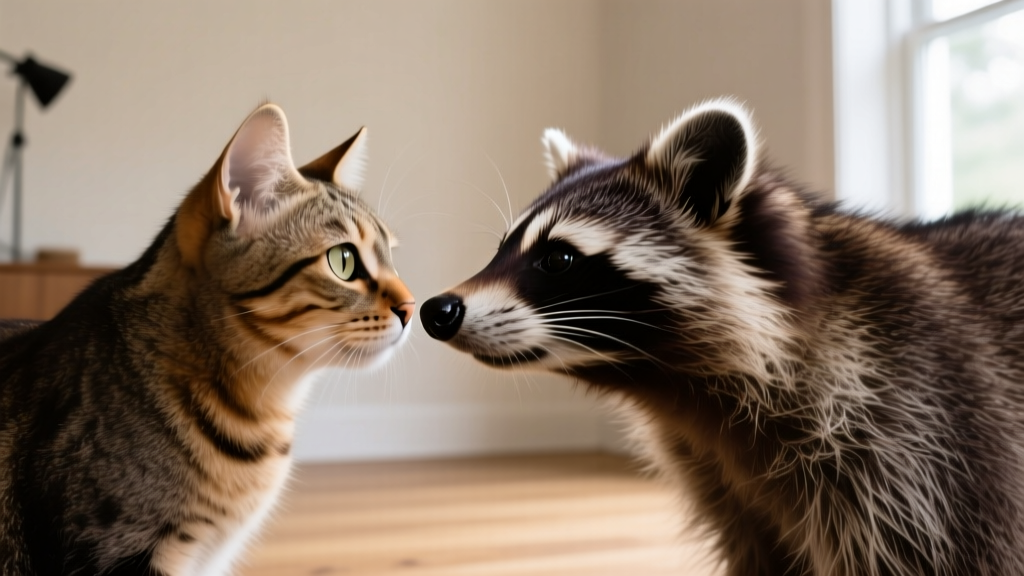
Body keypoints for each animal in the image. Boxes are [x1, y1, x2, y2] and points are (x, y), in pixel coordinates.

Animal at [419, 98, 1024, 575]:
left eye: (559, 258)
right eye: (501, 249)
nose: (435, 309)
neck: (683, 392)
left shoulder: (923, 441)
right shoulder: (726, 483)